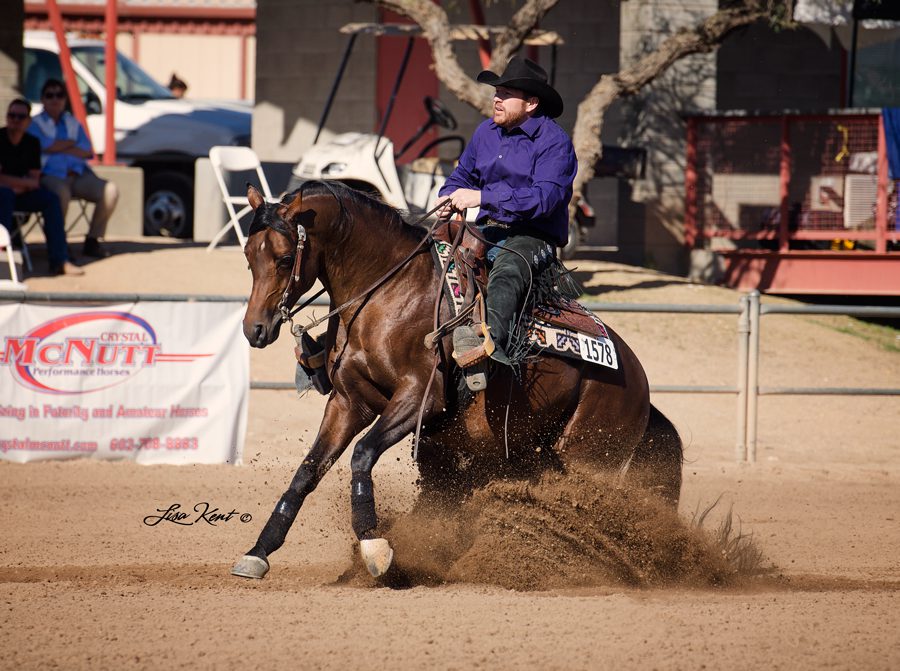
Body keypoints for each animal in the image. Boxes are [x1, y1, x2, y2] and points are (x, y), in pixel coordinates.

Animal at [231, 180, 683, 580]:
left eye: (284, 258)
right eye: (248, 256)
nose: (254, 329)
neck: (387, 294)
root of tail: (640, 382)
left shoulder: (419, 398)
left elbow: (362, 454)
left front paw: (376, 547)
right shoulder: (348, 402)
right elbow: (307, 472)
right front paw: (258, 552)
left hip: (587, 456)